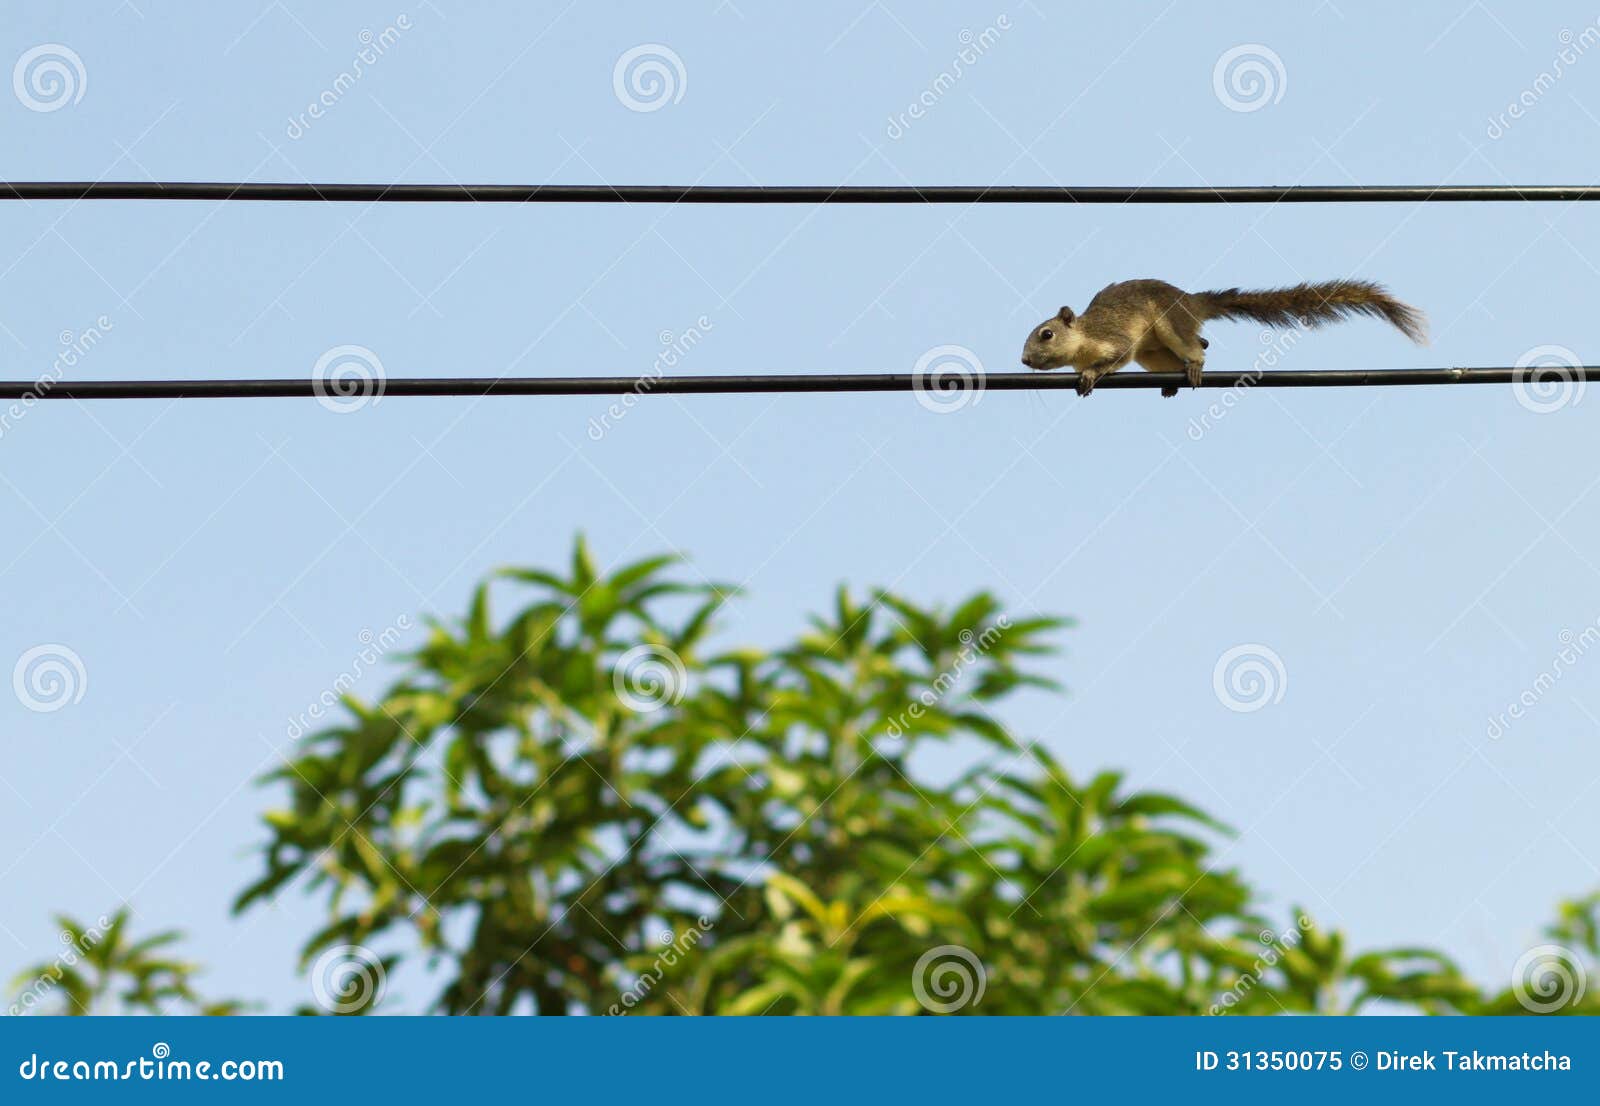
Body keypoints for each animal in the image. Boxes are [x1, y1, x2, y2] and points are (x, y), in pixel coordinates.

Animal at [1019, 279, 1427, 396]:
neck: (1083, 338)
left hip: (1170, 326)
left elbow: (1114, 356)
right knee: (1196, 345)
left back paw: (1196, 366)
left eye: (1046, 334)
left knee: (1196, 346)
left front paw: (1091, 375)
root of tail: (1191, 301)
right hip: (1153, 353)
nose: (1023, 360)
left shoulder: (1114, 338)